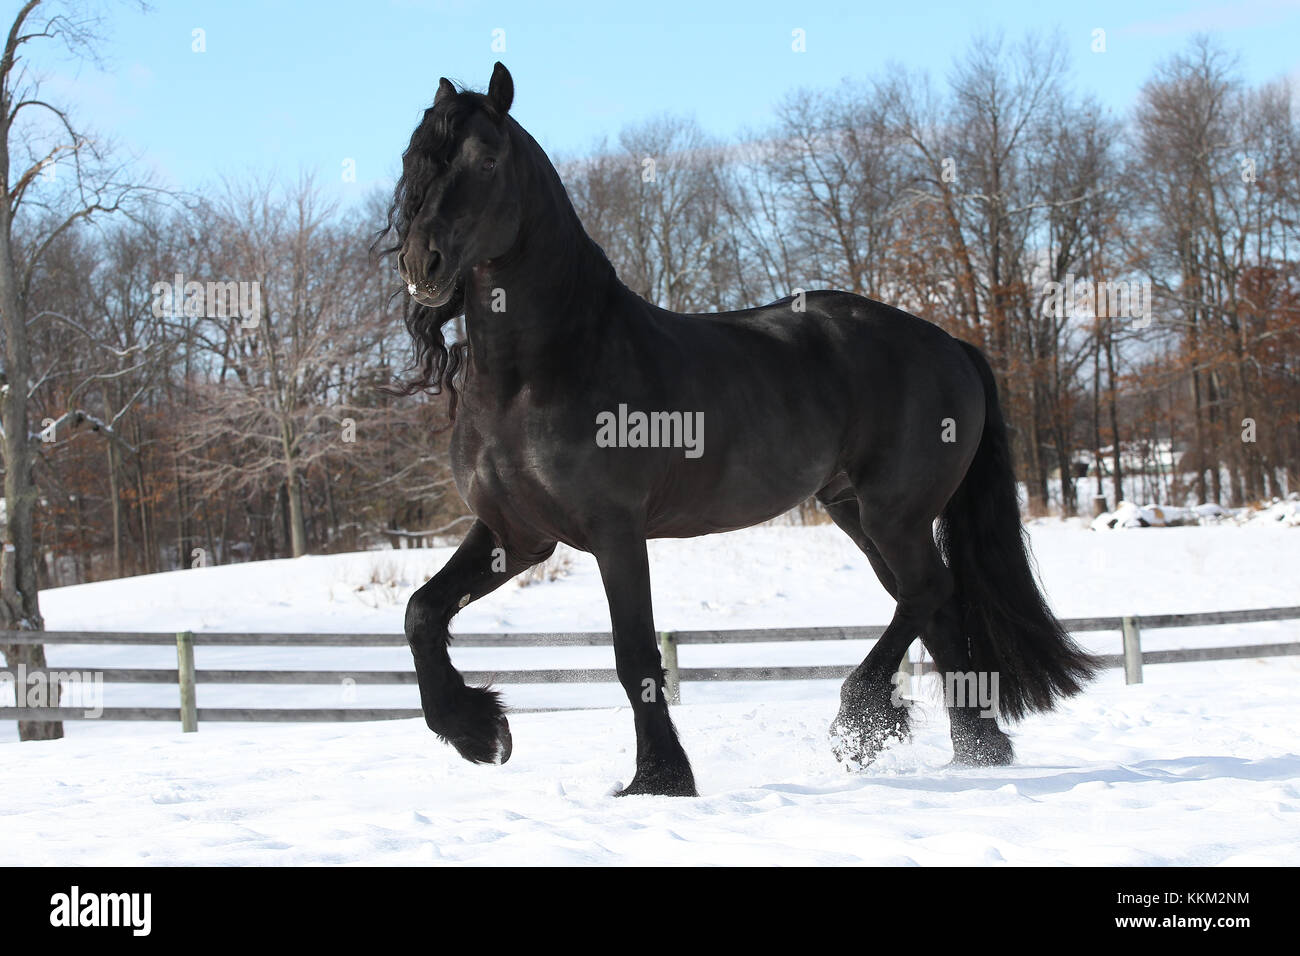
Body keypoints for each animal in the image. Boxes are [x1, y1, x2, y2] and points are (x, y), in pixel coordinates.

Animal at [377, 62, 1097, 797]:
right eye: (416, 159)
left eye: (487, 159)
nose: (421, 264)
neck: (534, 376)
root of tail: (950, 343)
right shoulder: (516, 537)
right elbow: (421, 612)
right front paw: (479, 733)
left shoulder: (614, 532)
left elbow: (634, 653)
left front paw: (659, 778)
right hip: (857, 513)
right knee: (934, 607)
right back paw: (977, 748)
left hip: (894, 512)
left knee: (927, 593)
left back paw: (862, 721)